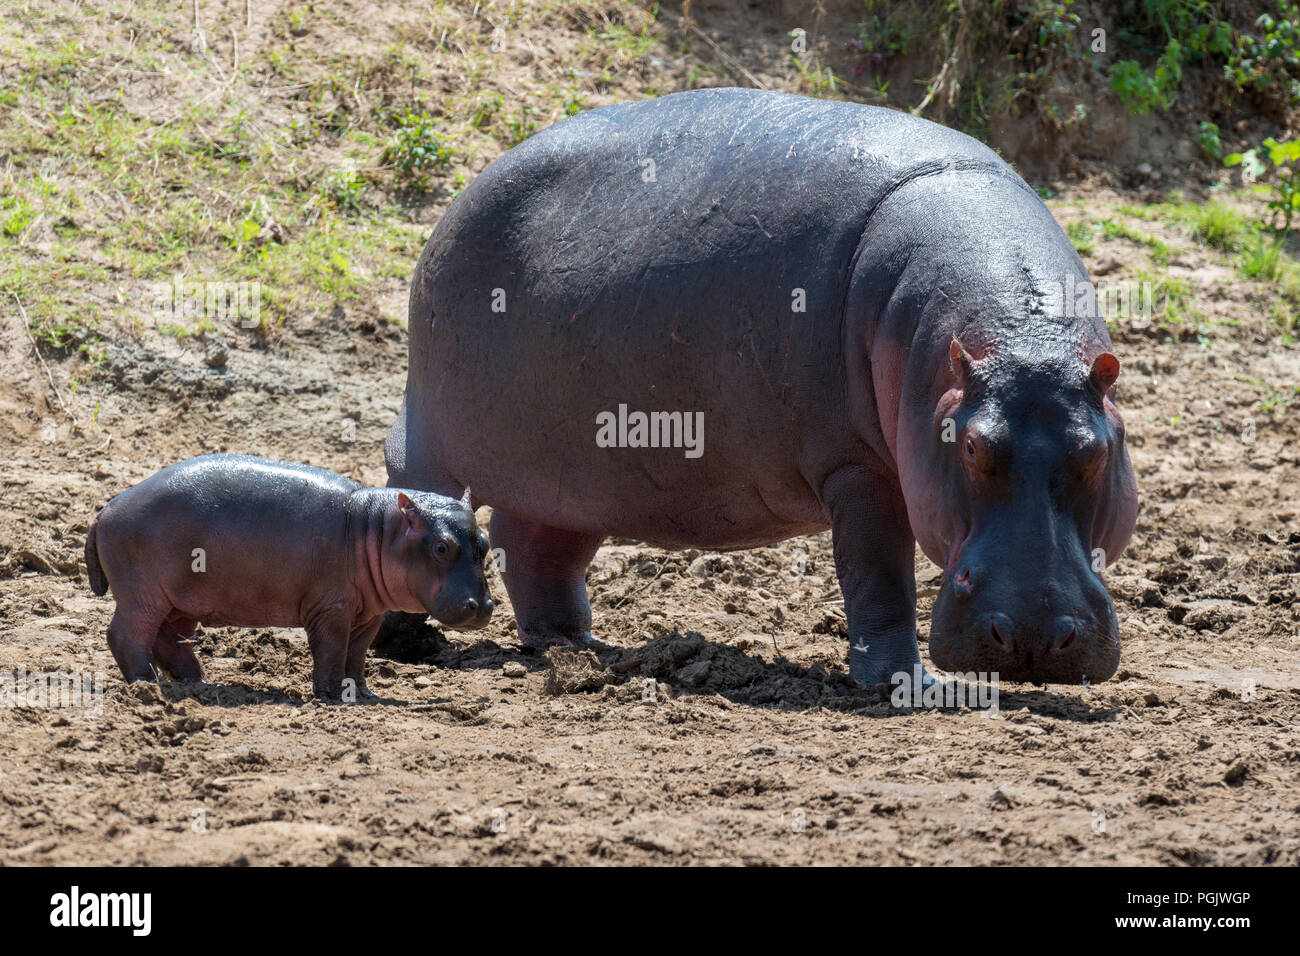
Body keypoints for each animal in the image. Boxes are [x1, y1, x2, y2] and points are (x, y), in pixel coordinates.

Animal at [85, 455, 493, 697]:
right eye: (441, 547)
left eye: (486, 542)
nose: (484, 605)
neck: (376, 529)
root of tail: (106, 508)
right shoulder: (330, 609)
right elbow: (331, 651)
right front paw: (330, 697)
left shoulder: (368, 614)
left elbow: (357, 655)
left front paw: (363, 694)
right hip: (142, 593)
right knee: (126, 635)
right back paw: (146, 685)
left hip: (179, 600)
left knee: (169, 639)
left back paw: (198, 683)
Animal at [385, 88, 1138, 687]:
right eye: (974, 447)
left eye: (1097, 450)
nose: (1033, 639)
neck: (1017, 336)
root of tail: (461, 196)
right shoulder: (855, 466)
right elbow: (879, 574)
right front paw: (904, 684)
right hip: (434, 435)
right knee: (415, 496)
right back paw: (408, 646)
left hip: (572, 475)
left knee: (537, 544)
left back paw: (579, 648)